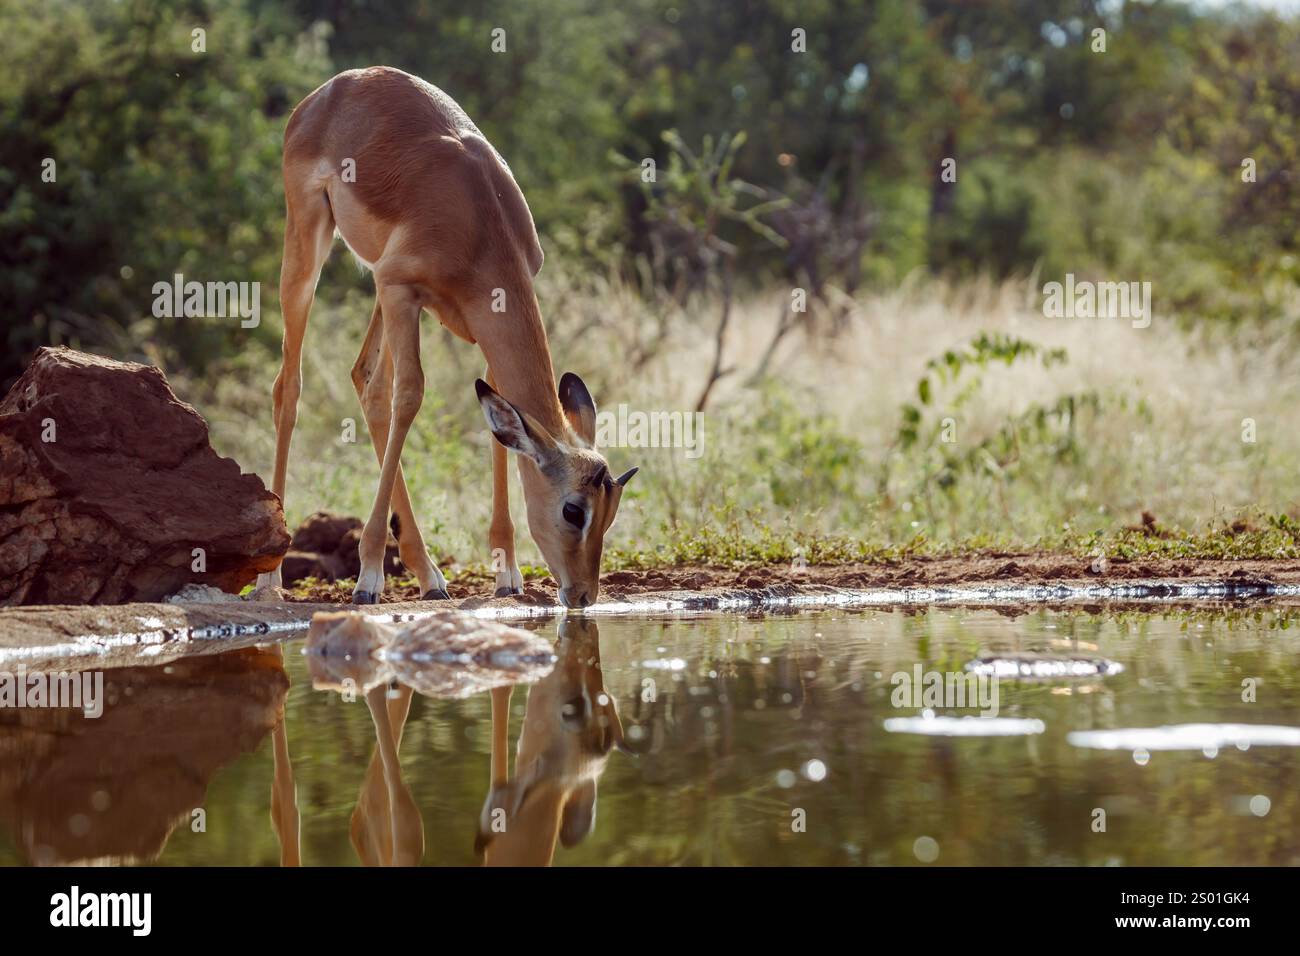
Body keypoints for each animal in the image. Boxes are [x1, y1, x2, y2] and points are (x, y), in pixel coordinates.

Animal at [260, 66, 637, 607]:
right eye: (573, 509)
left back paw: (429, 575)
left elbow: (495, 420)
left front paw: (508, 573)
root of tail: (334, 88)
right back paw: (272, 579)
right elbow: (411, 396)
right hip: (314, 249)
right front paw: (368, 577)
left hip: (380, 287)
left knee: (366, 379)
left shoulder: (478, 317)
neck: (478, 220)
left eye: (611, 509)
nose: (583, 595)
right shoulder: (403, 291)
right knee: (292, 387)